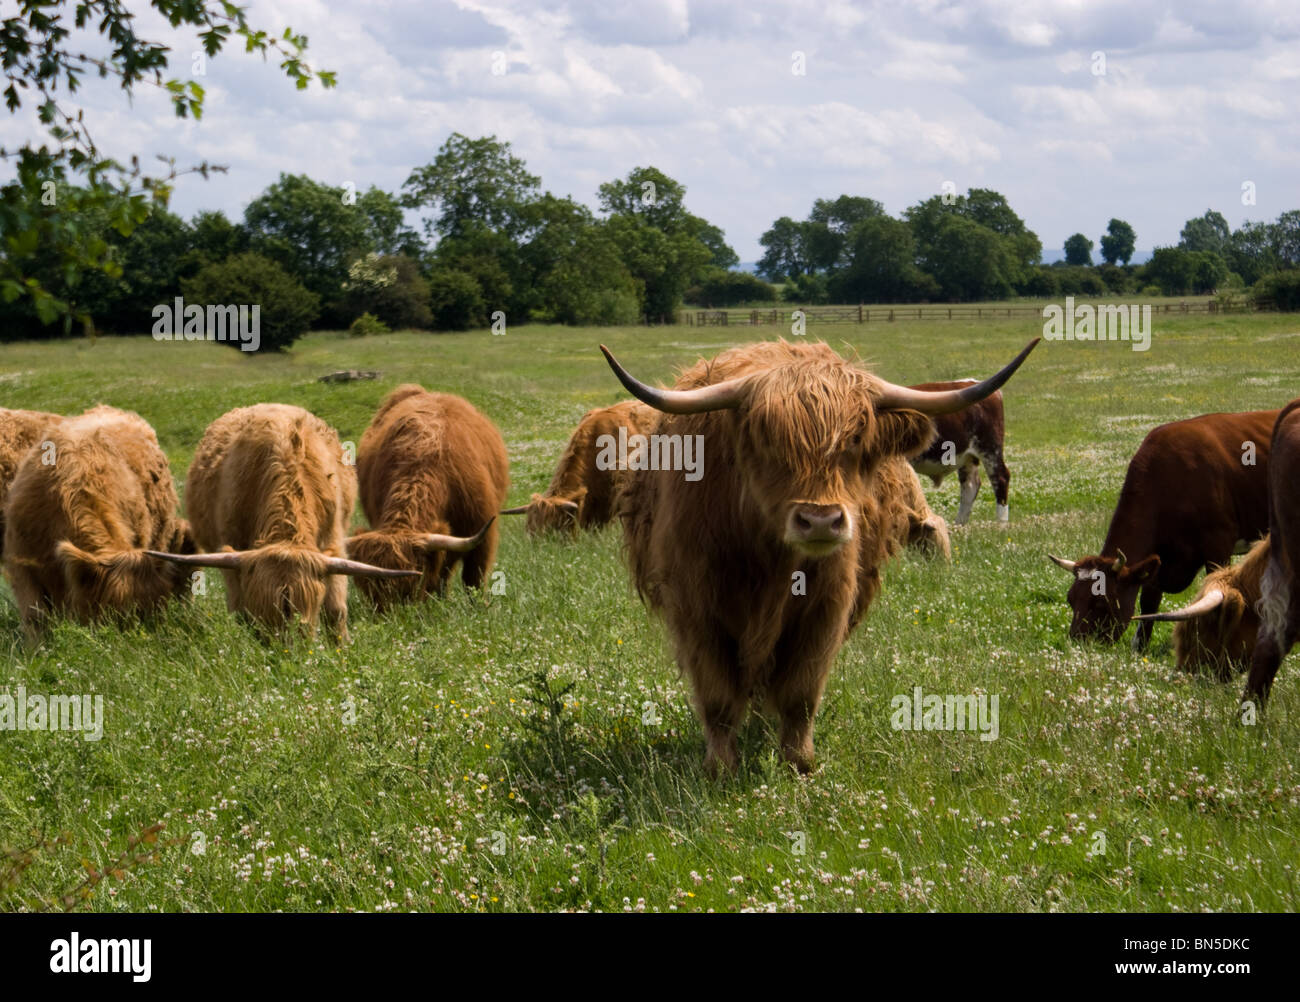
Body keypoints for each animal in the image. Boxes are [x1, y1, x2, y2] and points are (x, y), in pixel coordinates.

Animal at [143, 404, 415, 640]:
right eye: (264, 622)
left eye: (305, 619)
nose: (288, 651)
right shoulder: (231, 555)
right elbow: (240, 610)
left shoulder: (333, 543)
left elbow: (336, 610)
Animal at [907, 381, 1010, 523]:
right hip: (968, 456)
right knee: (970, 485)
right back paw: (959, 525)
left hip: (990, 448)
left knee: (1000, 478)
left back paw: (1001, 525)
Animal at [1048, 409, 1276, 650]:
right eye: (1070, 599)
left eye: (1101, 603)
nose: (1076, 646)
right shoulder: (1157, 559)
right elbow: (1149, 601)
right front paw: (1139, 647)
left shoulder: (1219, 545)